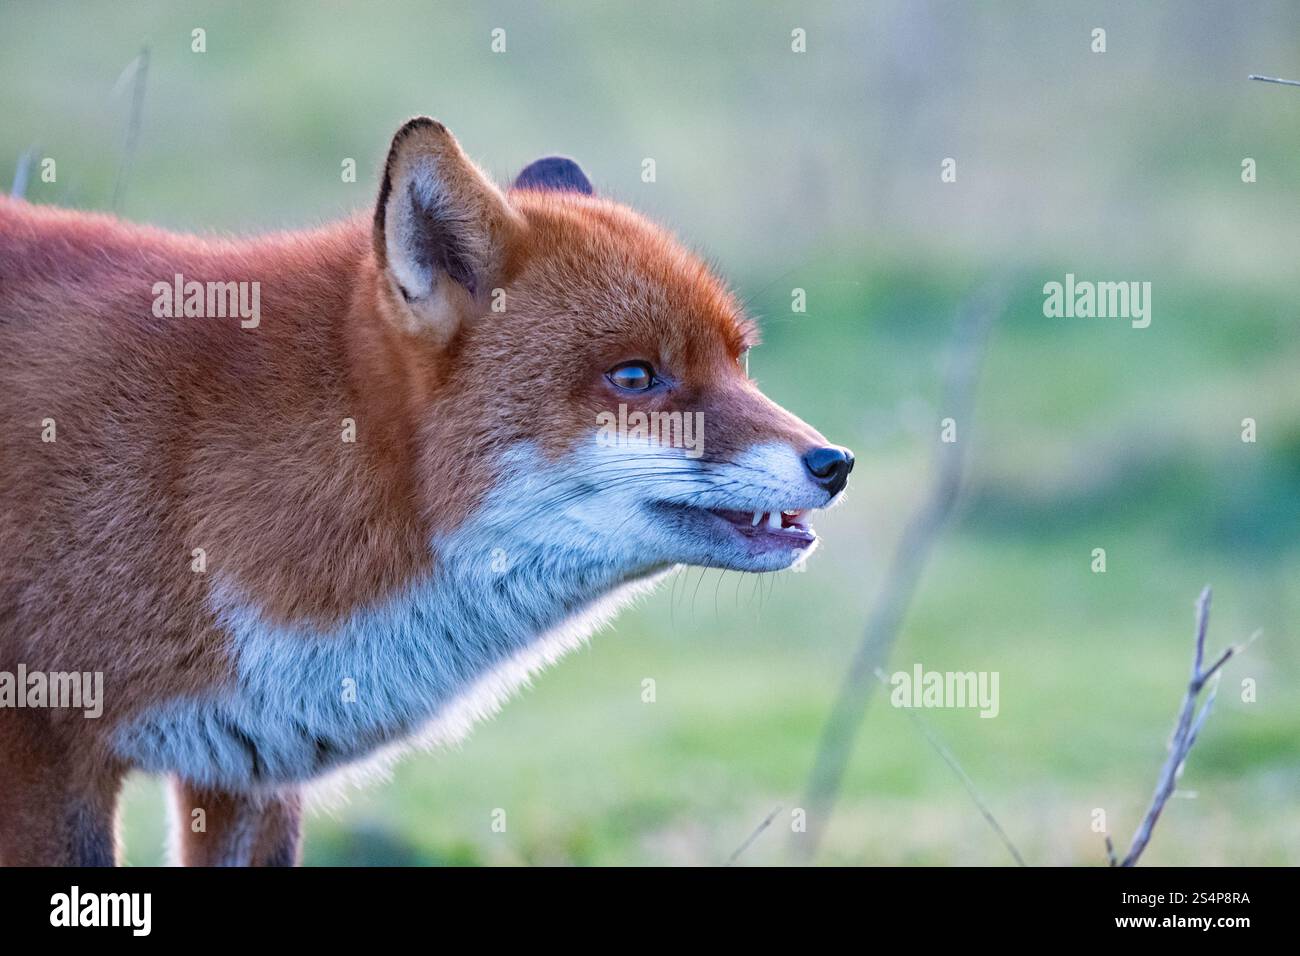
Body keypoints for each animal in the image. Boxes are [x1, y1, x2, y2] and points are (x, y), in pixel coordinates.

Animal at [0, 117, 854, 866]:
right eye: (637, 377)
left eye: (739, 360)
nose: (835, 462)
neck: (190, 477)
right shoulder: (39, 742)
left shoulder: (246, 770)